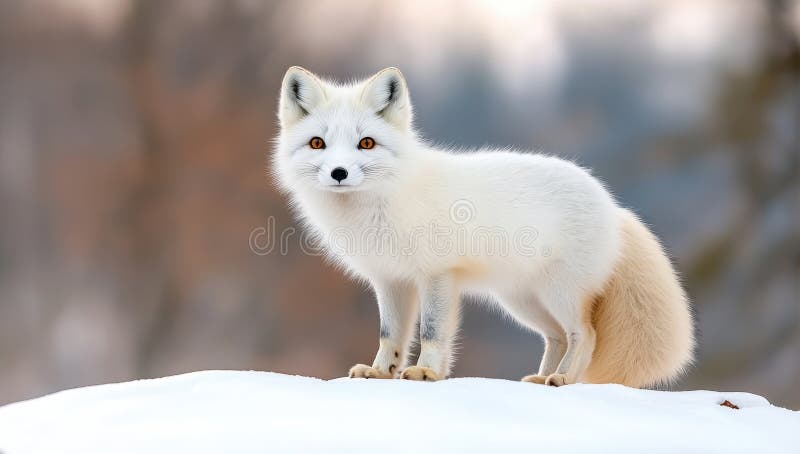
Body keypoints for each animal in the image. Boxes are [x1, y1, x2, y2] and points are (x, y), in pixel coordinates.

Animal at [273, 66, 695, 387]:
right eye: (317, 143)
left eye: (366, 143)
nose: (338, 173)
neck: (383, 204)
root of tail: (614, 206)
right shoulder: (391, 280)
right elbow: (390, 335)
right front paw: (381, 373)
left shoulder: (438, 274)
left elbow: (431, 332)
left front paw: (426, 373)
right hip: (522, 302)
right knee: (556, 337)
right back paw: (541, 379)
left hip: (560, 292)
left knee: (584, 335)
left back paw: (563, 380)